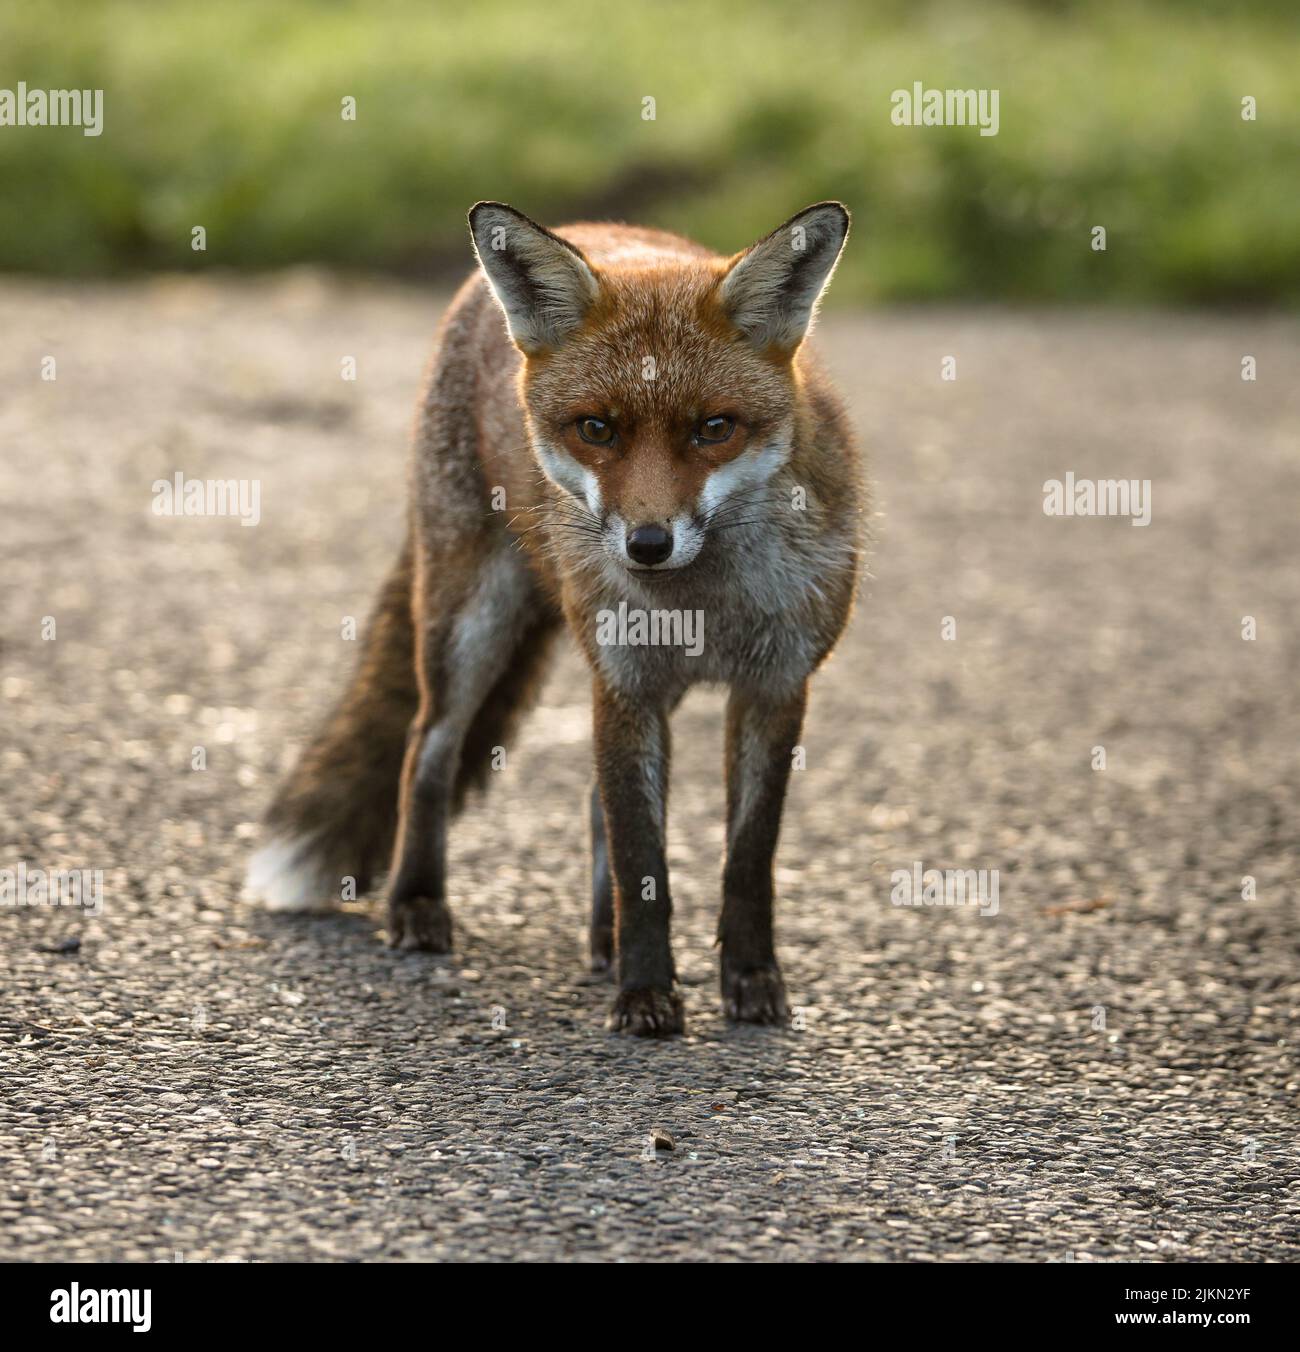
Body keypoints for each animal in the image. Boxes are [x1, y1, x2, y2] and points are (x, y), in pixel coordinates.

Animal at [245, 200, 865, 1036]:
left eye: (714, 428)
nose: (647, 545)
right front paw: (646, 995)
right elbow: (643, 857)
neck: (707, 604)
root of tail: (590, 220)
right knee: (426, 750)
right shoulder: (626, 683)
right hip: (471, 625)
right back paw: (418, 903)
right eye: (596, 429)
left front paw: (750, 981)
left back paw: (601, 939)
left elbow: (743, 861)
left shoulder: (773, 687)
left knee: (590, 803)